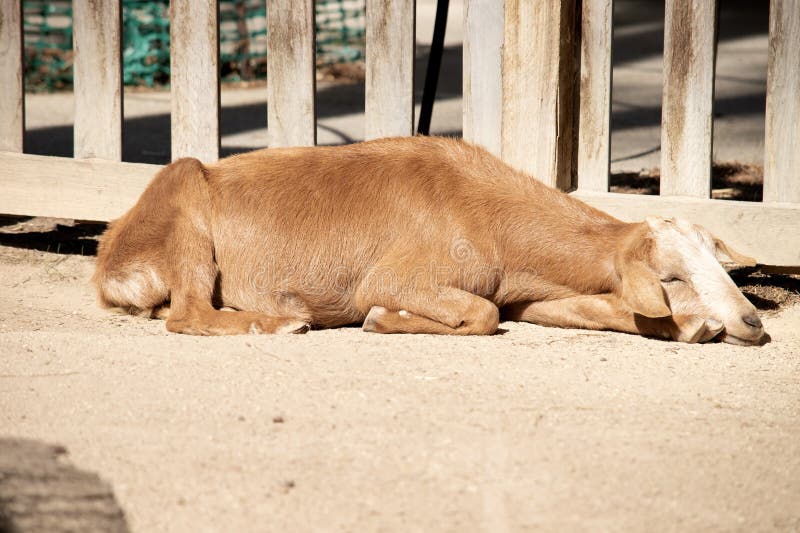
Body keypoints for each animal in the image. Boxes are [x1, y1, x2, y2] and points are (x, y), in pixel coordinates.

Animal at [93, 136, 765, 345]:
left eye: (720, 266)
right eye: (671, 276)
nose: (754, 321)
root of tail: (108, 263)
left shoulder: (534, 294)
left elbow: (597, 309)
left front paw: (696, 327)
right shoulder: (398, 275)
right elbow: (482, 313)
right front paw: (384, 320)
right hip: (184, 200)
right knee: (185, 314)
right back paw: (280, 321)